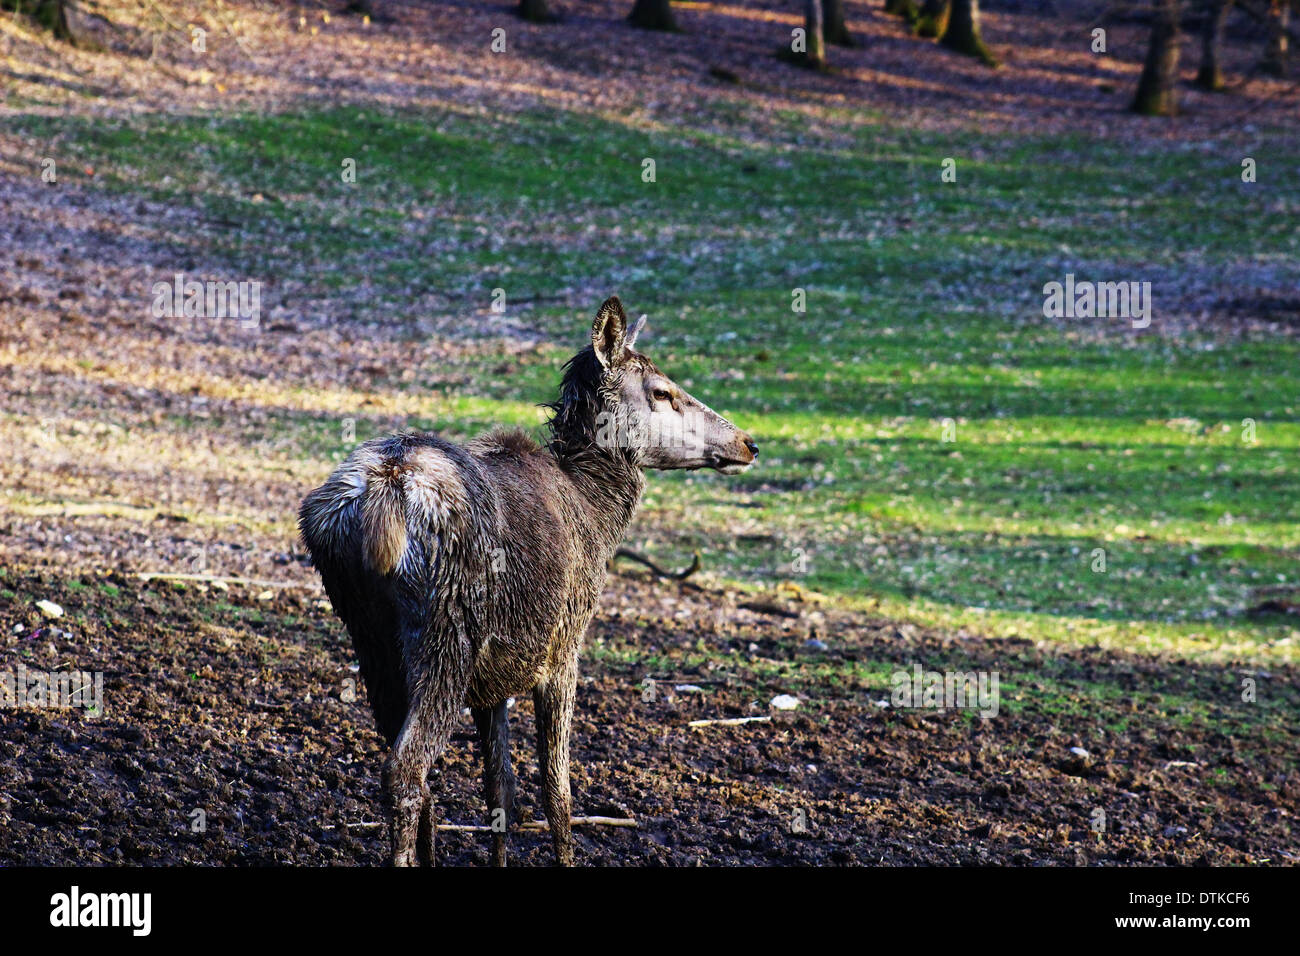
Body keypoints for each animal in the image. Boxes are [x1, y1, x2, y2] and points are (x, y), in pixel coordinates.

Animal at [298, 296, 758, 866]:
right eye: (661, 391)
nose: (748, 442)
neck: (599, 516)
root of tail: (384, 491)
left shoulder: (495, 678)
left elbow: (501, 790)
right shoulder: (564, 648)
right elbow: (555, 790)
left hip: (369, 634)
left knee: (411, 766)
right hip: (448, 631)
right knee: (406, 768)